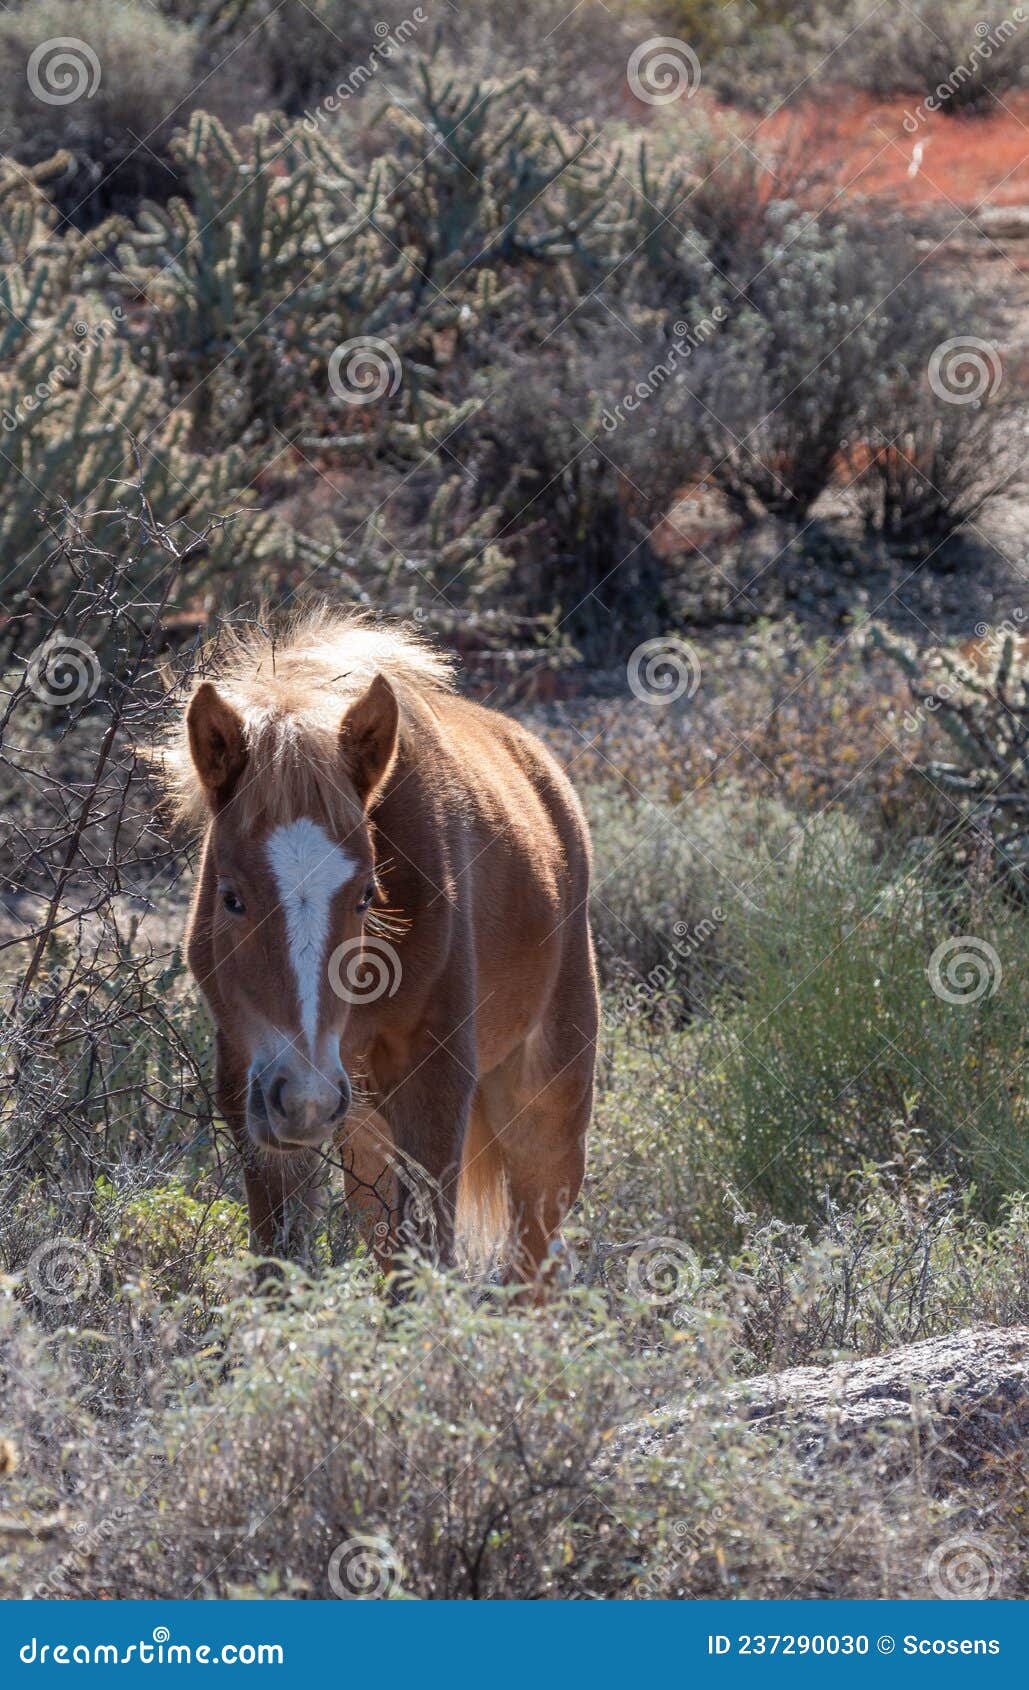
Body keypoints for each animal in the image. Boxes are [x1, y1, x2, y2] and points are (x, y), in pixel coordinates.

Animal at [162, 609, 598, 1288]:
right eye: (231, 897)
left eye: (368, 895)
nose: (307, 1099)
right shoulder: (254, 1100)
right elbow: (282, 1270)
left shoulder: (434, 1096)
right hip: (363, 1133)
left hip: (547, 1120)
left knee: (533, 1271)